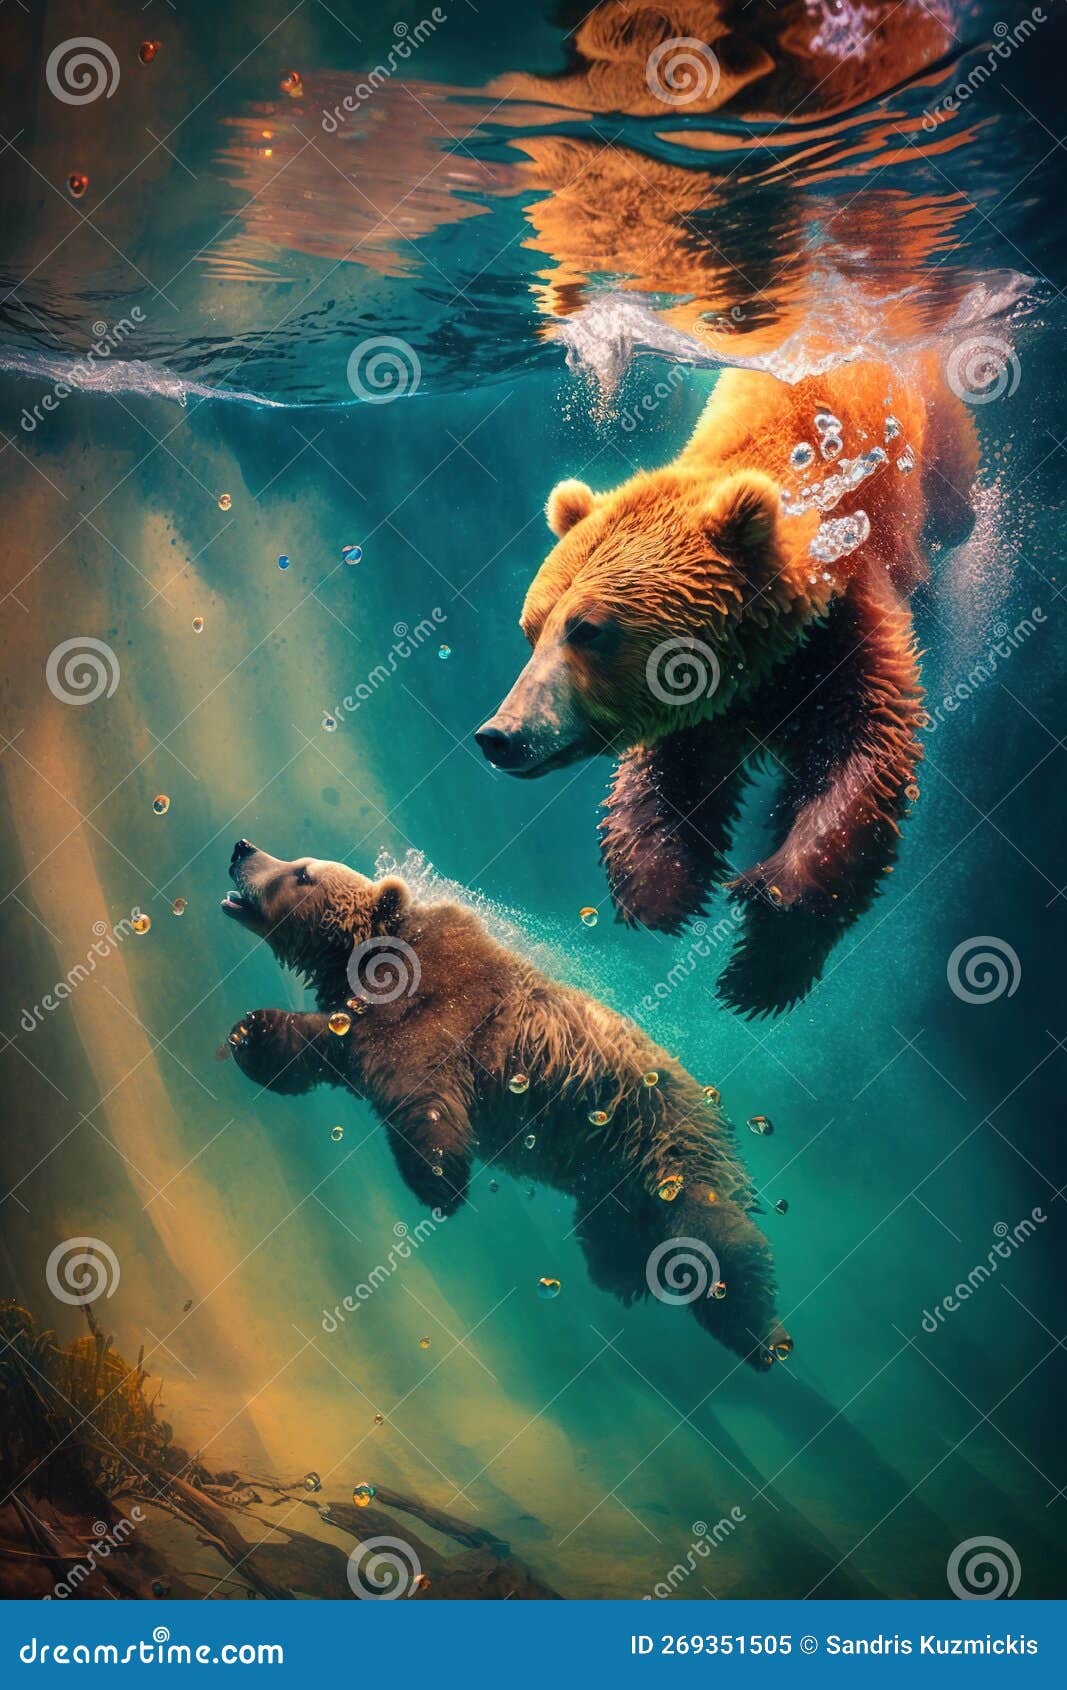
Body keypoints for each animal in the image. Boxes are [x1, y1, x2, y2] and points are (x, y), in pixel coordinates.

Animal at [221, 838, 791, 1370]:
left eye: (303, 872)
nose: (242, 849)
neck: (372, 960)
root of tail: (717, 1112)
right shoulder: (362, 1021)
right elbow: (324, 1044)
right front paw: (252, 1038)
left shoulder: (445, 1011)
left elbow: (423, 1091)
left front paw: (442, 1181)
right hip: (616, 1181)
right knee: (615, 1241)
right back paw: (623, 1274)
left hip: (668, 1147)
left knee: (720, 1241)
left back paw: (763, 1338)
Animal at [476, 357, 978, 1016]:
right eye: (531, 629)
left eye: (587, 630)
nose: (501, 735)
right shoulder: (715, 706)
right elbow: (670, 782)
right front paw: (661, 891)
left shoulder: (841, 633)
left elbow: (862, 764)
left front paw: (765, 948)